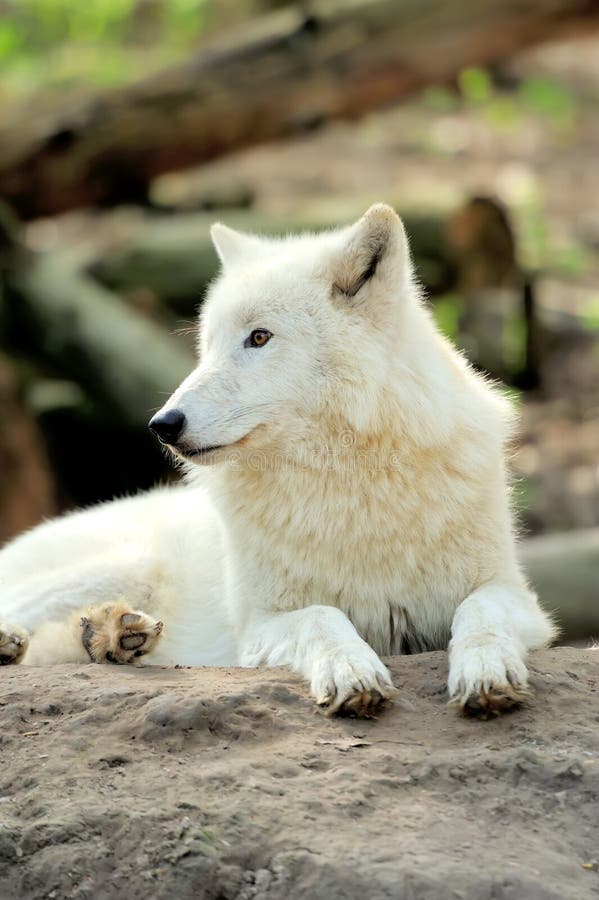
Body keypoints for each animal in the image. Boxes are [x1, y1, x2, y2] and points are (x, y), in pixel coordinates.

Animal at [0, 204, 556, 715]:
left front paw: (486, 670)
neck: (346, 484)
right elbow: (322, 617)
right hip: (128, 563)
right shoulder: (262, 624)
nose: (163, 424)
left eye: (259, 337)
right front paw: (350, 670)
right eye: (207, 347)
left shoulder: (511, 592)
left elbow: (480, 612)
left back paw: (111, 635)